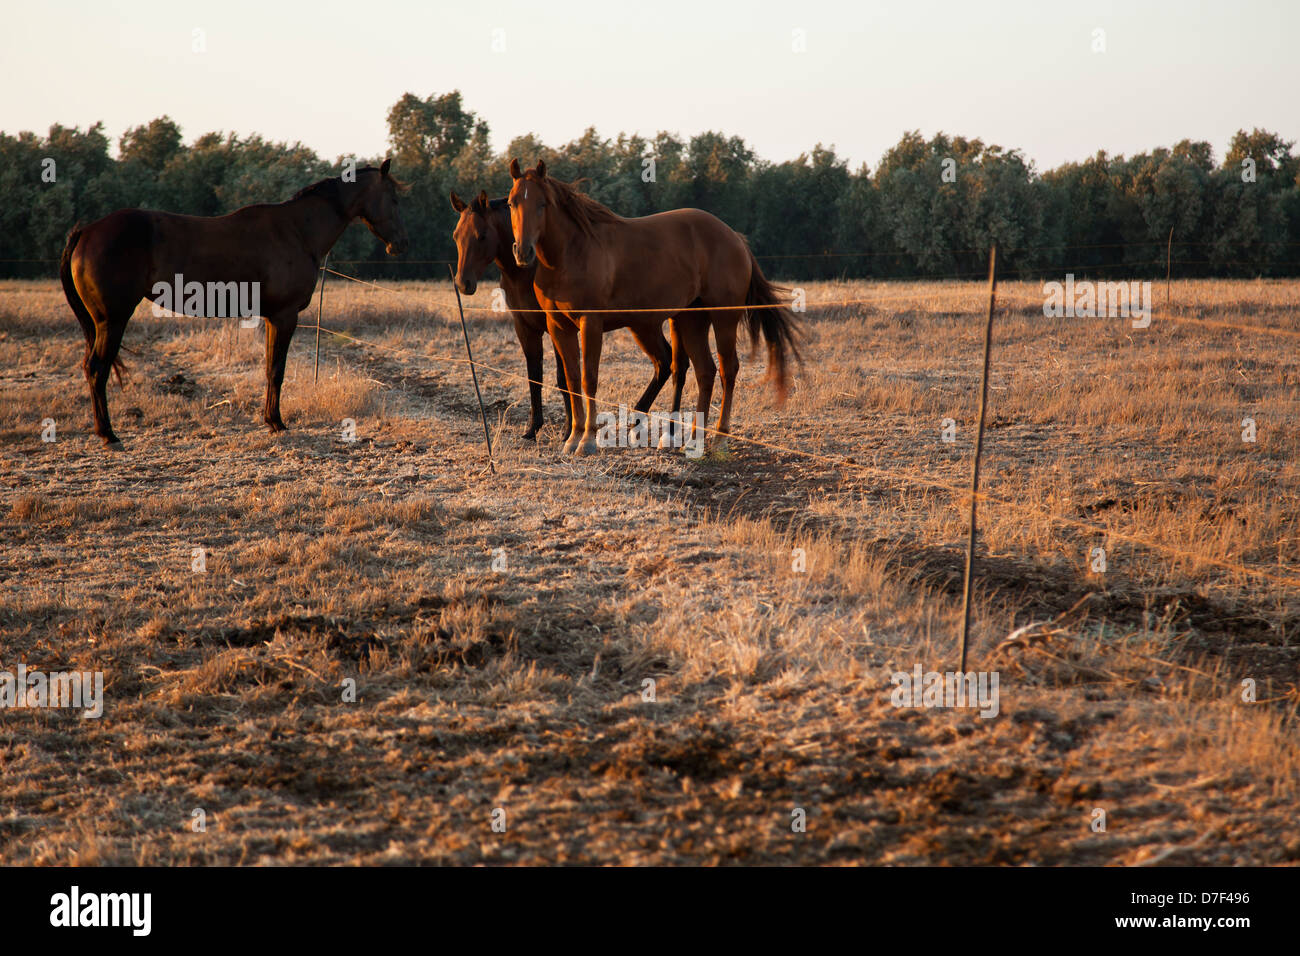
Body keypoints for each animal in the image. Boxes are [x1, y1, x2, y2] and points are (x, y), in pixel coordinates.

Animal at [60, 159, 409, 447]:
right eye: (394, 199)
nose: (400, 244)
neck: (297, 231)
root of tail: (86, 232)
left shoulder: (271, 318)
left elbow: (269, 369)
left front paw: (270, 420)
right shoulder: (284, 316)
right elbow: (277, 371)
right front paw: (277, 423)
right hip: (112, 319)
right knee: (97, 369)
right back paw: (108, 435)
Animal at [450, 188, 679, 441]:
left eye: (481, 236)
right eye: (456, 236)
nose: (463, 284)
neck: (526, 273)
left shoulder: (555, 325)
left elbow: (563, 378)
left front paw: (569, 429)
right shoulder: (525, 327)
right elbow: (534, 375)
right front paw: (532, 428)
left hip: (647, 324)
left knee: (669, 363)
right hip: (644, 325)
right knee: (665, 362)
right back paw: (637, 420)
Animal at [506, 158, 800, 456]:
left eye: (543, 204)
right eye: (512, 203)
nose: (523, 252)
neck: (571, 253)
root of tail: (735, 238)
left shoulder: (591, 323)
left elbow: (589, 378)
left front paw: (587, 439)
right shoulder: (558, 326)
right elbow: (572, 379)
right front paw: (573, 437)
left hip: (723, 320)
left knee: (728, 371)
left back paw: (719, 439)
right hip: (691, 321)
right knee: (705, 371)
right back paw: (693, 441)